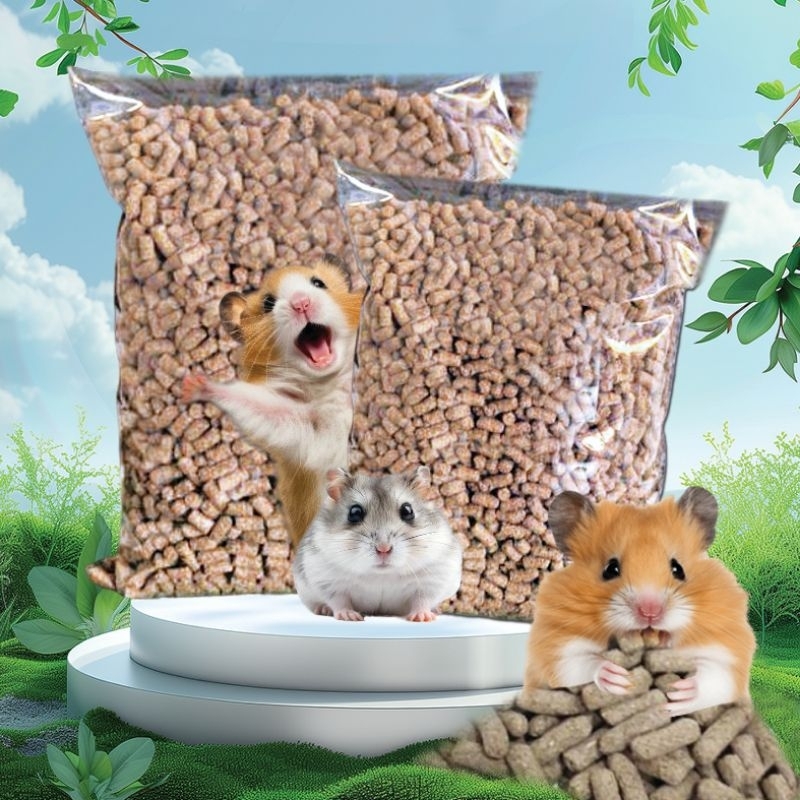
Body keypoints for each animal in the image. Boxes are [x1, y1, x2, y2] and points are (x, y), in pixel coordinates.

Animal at [181, 260, 364, 547]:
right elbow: (247, 401)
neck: (324, 381)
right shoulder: (299, 424)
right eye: (268, 303)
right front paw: (192, 385)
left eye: (318, 283)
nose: (301, 303)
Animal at [292, 467, 464, 622]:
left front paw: (422, 618)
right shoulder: (328, 580)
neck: (380, 575)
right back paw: (324, 609)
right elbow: (340, 601)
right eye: (354, 513)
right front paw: (350, 616)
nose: (383, 549)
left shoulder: (432, 580)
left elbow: (422, 600)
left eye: (408, 511)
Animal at [523, 487, 756, 716]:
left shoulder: (728, 647)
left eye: (678, 569)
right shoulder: (553, 643)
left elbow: (717, 673)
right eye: (610, 569)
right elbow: (575, 661)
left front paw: (680, 693)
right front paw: (617, 678)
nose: (650, 612)